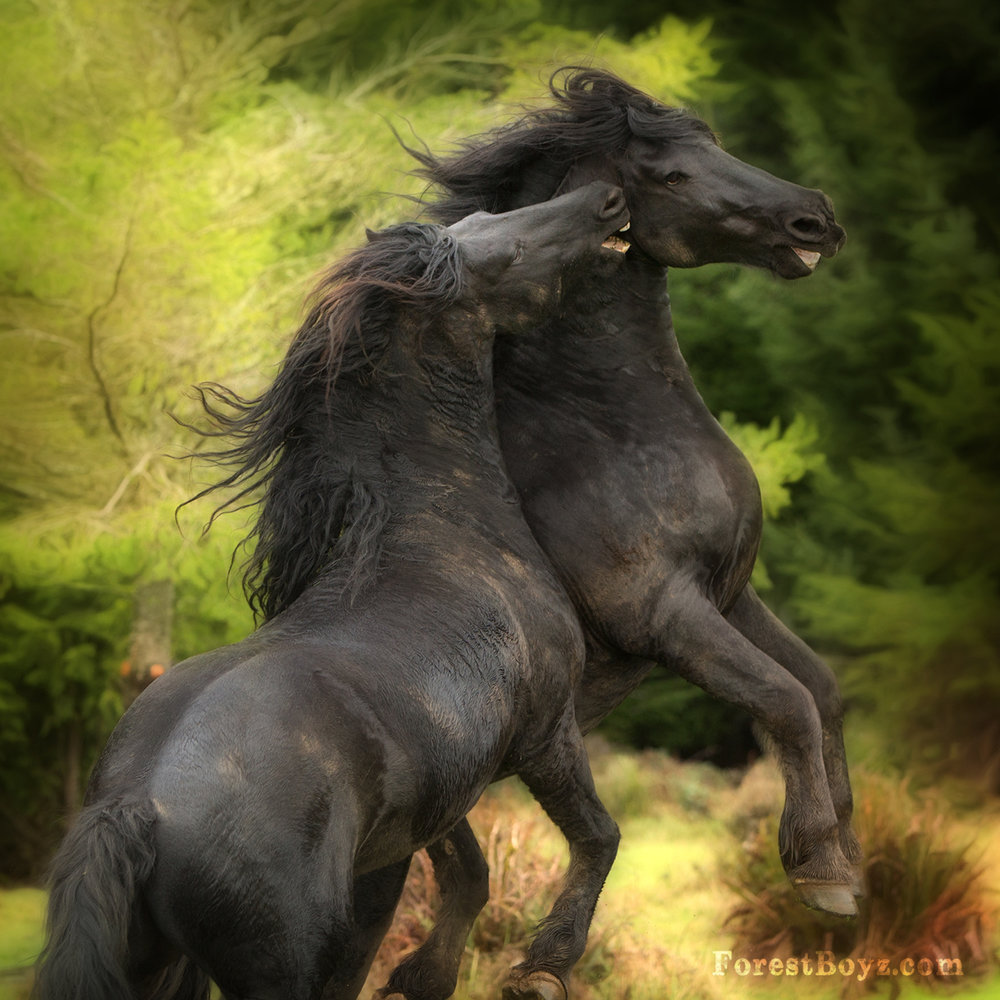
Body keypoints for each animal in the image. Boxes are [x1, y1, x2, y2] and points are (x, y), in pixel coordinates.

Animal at [32, 182, 632, 1000]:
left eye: (485, 221)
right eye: (505, 249)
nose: (606, 199)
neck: (444, 528)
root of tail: (137, 807)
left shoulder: (428, 810)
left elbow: (468, 872)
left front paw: (422, 975)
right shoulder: (547, 731)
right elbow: (598, 837)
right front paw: (542, 964)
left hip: (162, 967)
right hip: (274, 965)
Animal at [370, 64, 862, 1000]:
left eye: (717, 148)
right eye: (670, 174)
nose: (815, 218)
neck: (605, 425)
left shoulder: (731, 596)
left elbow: (821, 692)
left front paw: (849, 863)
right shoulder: (664, 614)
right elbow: (784, 700)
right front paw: (822, 871)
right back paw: (512, 965)